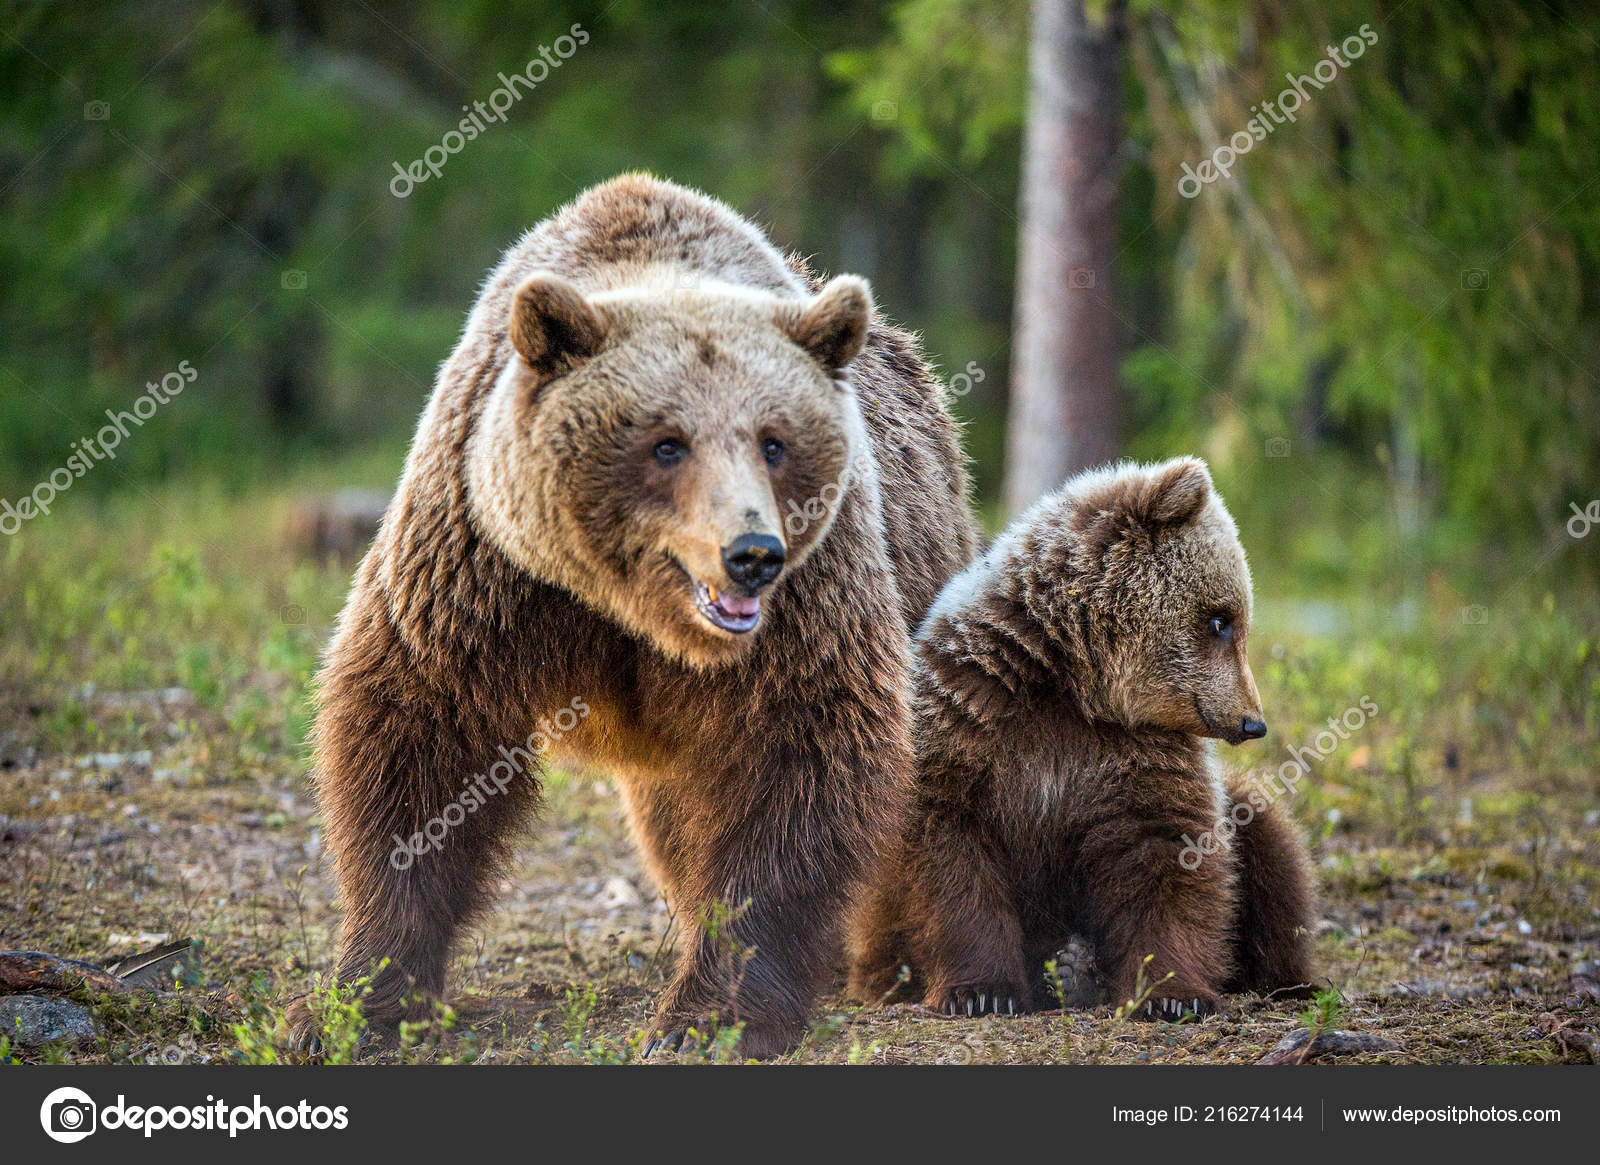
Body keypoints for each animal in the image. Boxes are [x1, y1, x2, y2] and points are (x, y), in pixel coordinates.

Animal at [290, 173, 979, 1059]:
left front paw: (708, 1013)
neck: (635, 612)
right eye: (666, 442)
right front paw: (352, 1001)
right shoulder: (484, 569)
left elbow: (800, 756)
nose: (752, 553)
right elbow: (418, 740)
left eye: (774, 440)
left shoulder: (808, 603)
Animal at [847, 457, 1315, 1018]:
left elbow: (1169, 853)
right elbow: (946, 860)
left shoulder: (1139, 753)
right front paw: (979, 991)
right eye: (1220, 619)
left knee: (1268, 843)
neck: (1070, 683)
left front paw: (1170, 995)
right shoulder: (967, 717)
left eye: (1235, 619)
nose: (1252, 722)